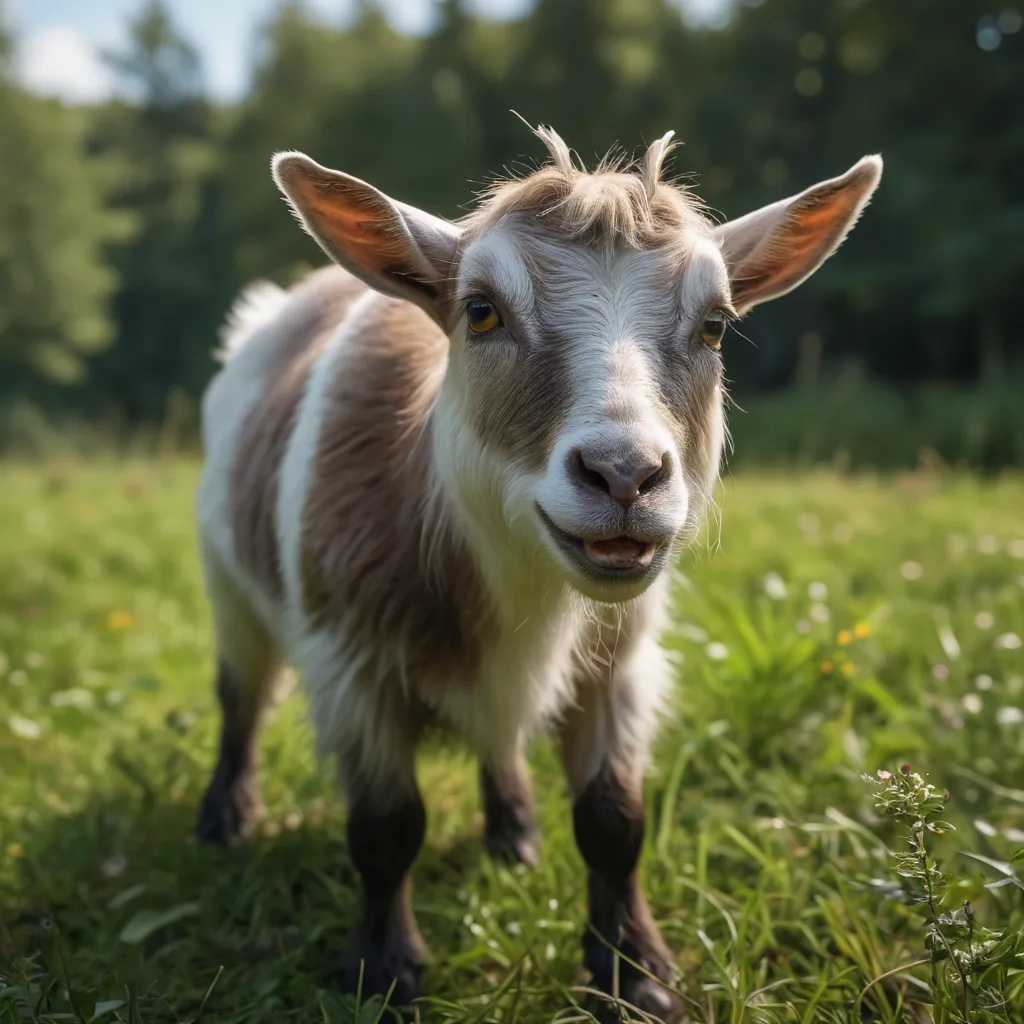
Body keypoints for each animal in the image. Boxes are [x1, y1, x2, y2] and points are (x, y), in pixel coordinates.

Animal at [195, 124, 881, 1019]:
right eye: (481, 310)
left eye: (716, 325)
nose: (624, 475)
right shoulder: (352, 662)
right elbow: (386, 828)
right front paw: (383, 971)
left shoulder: (619, 659)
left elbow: (614, 820)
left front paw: (635, 973)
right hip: (227, 580)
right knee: (240, 695)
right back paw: (224, 818)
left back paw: (512, 829)